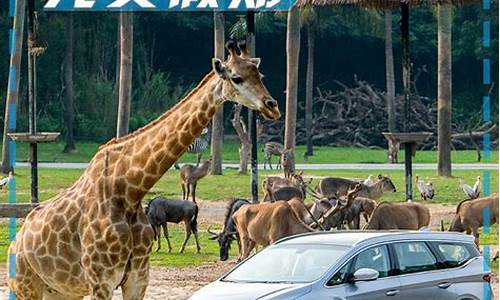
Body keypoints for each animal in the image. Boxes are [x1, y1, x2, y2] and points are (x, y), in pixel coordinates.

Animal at [7, 40, 280, 300]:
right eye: (236, 77)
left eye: (260, 74)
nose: (272, 106)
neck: (129, 191)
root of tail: (16, 241)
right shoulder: (101, 280)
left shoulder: (138, 278)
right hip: (26, 285)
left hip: (62, 291)